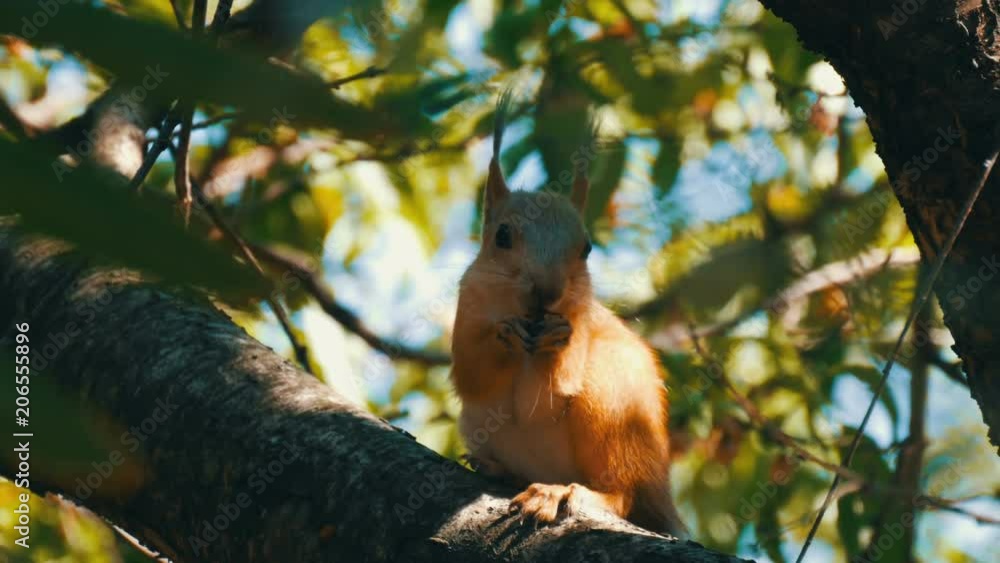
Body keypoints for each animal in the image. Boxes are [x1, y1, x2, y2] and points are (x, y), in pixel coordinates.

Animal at [450, 92, 688, 538]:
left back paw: (557, 492)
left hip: (612, 406)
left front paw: (554, 342)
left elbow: (550, 394)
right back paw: (497, 469)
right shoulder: (468, 305)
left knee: (621, 493)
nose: (548, 292)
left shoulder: (580, 318)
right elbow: (471, 373)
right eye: (502, 236)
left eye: (587, 248)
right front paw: (504, 335)